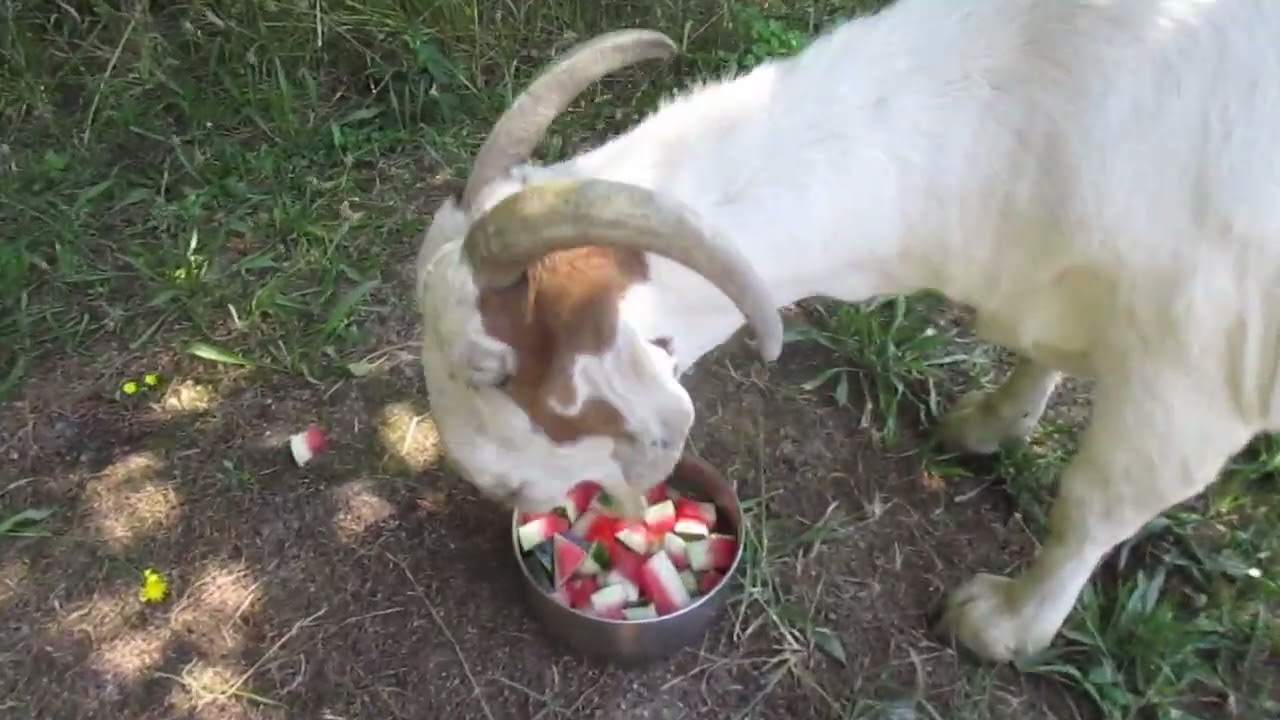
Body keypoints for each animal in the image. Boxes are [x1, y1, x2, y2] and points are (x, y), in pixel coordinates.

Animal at [415, 0, 1280, 663]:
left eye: (493, 370)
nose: (493, 486)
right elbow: (1039, 354)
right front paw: (994, 423)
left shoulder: (1188, 385)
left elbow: (1093, 505)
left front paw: (1006, 625)